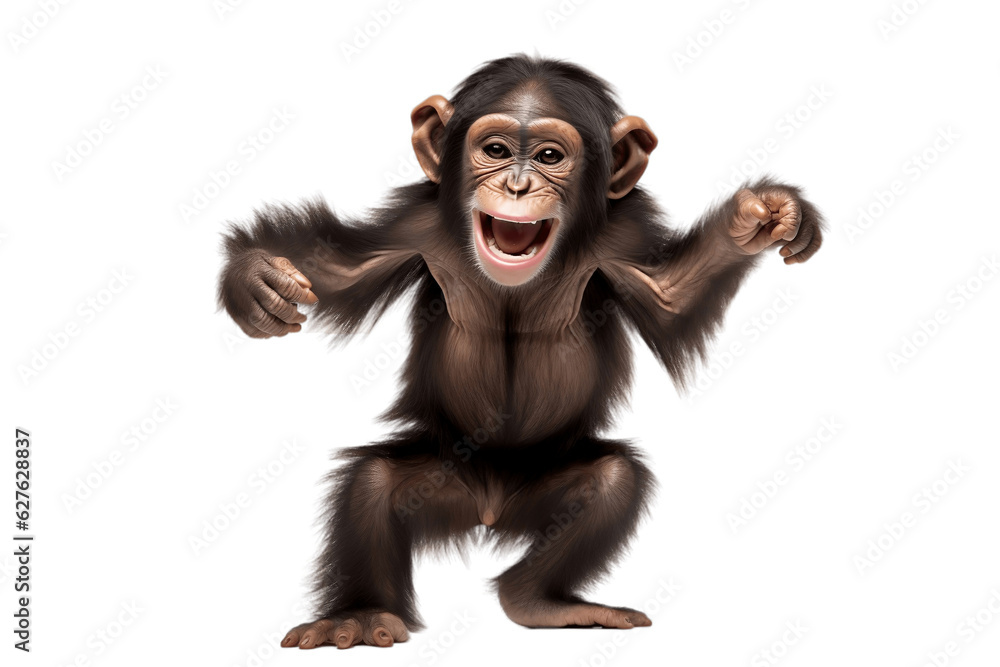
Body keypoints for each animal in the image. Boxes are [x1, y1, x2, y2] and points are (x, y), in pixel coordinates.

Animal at [217, 55, 824, 649]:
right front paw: (258, 278)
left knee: (612, 482)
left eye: (551, 156)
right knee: (372, 483)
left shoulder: (621, 239)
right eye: (496, 150)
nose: (516, 184)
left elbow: (674, 293)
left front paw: (760, 217)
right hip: (442, 479)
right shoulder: (413, 226)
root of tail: (490, 511)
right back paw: (360, 617)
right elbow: (336, 271)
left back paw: (541, 602)